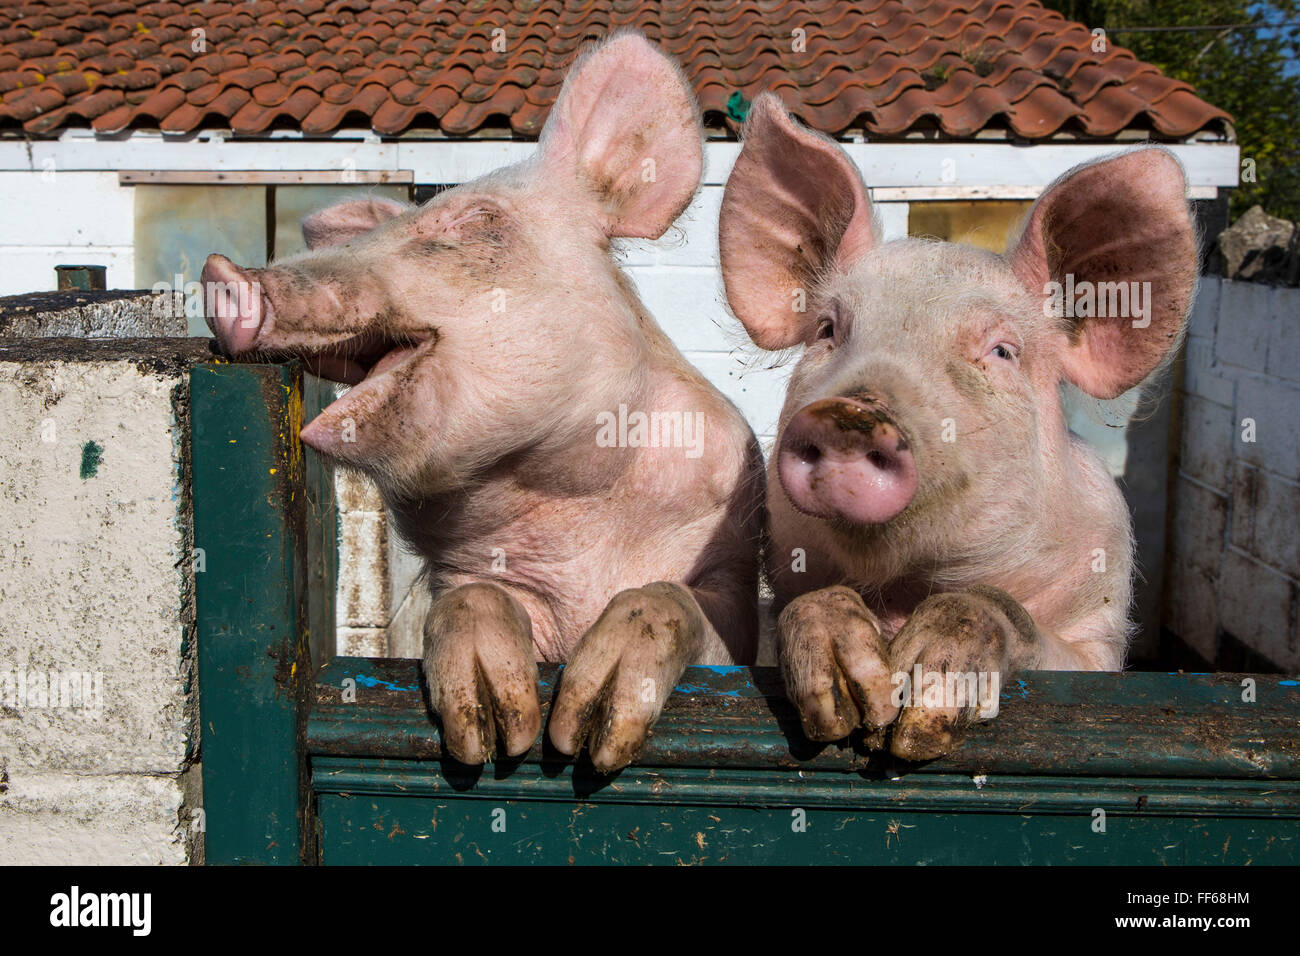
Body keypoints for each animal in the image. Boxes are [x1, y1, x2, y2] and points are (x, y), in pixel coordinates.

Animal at [202, 32, 763, 773]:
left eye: (477, 221)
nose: (220, 275)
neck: (565, 510)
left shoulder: (731, 575)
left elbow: (672, 602)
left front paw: (585, 733)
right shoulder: (459, 577)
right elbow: (472, 601)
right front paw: (495, 732)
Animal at [719, 94, 1197, 761]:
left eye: (1001, 351)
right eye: (827, 330)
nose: (851, 415)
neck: (907, 591)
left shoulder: (1097, 627)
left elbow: (1006, 615)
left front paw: (924, 702)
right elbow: (808, 607)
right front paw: (849, 700)